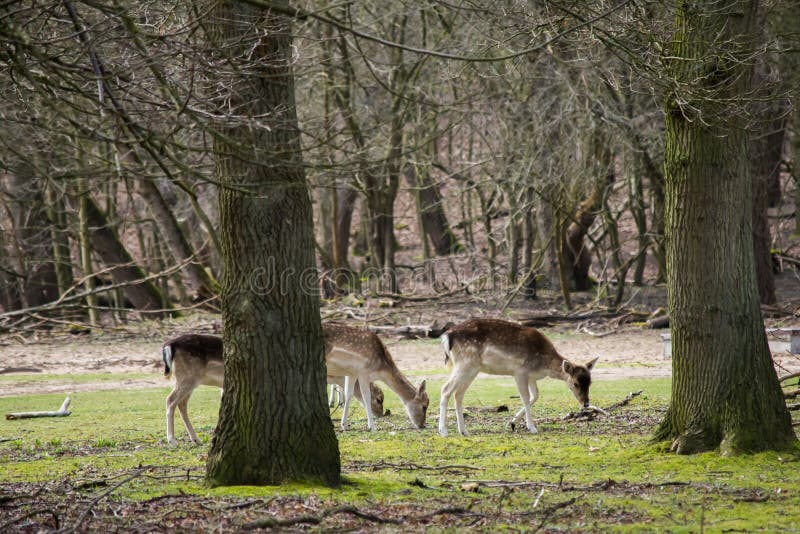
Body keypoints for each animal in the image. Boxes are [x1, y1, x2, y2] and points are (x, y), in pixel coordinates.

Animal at [162, 332, 386, 445]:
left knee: (181, 404)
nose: (383, 413)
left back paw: (196, 439)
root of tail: (169, 345)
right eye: (379, 398)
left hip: (188, 380)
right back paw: (172, 440)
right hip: (187, 378)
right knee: (170, 400)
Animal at [434, 318, 599, 437]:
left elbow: (535, 396)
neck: (543, 364)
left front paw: (511, 423)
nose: (586, 403)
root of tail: (447, 336)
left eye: (590, 382)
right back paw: (443, 431)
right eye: (576, 383)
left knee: (458, 394)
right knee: (445, 389)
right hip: (465, 363)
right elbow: (525, 397)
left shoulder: (531, 376)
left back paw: (463, 431)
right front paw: (531, 427)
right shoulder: (520, 371)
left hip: (471, 368)